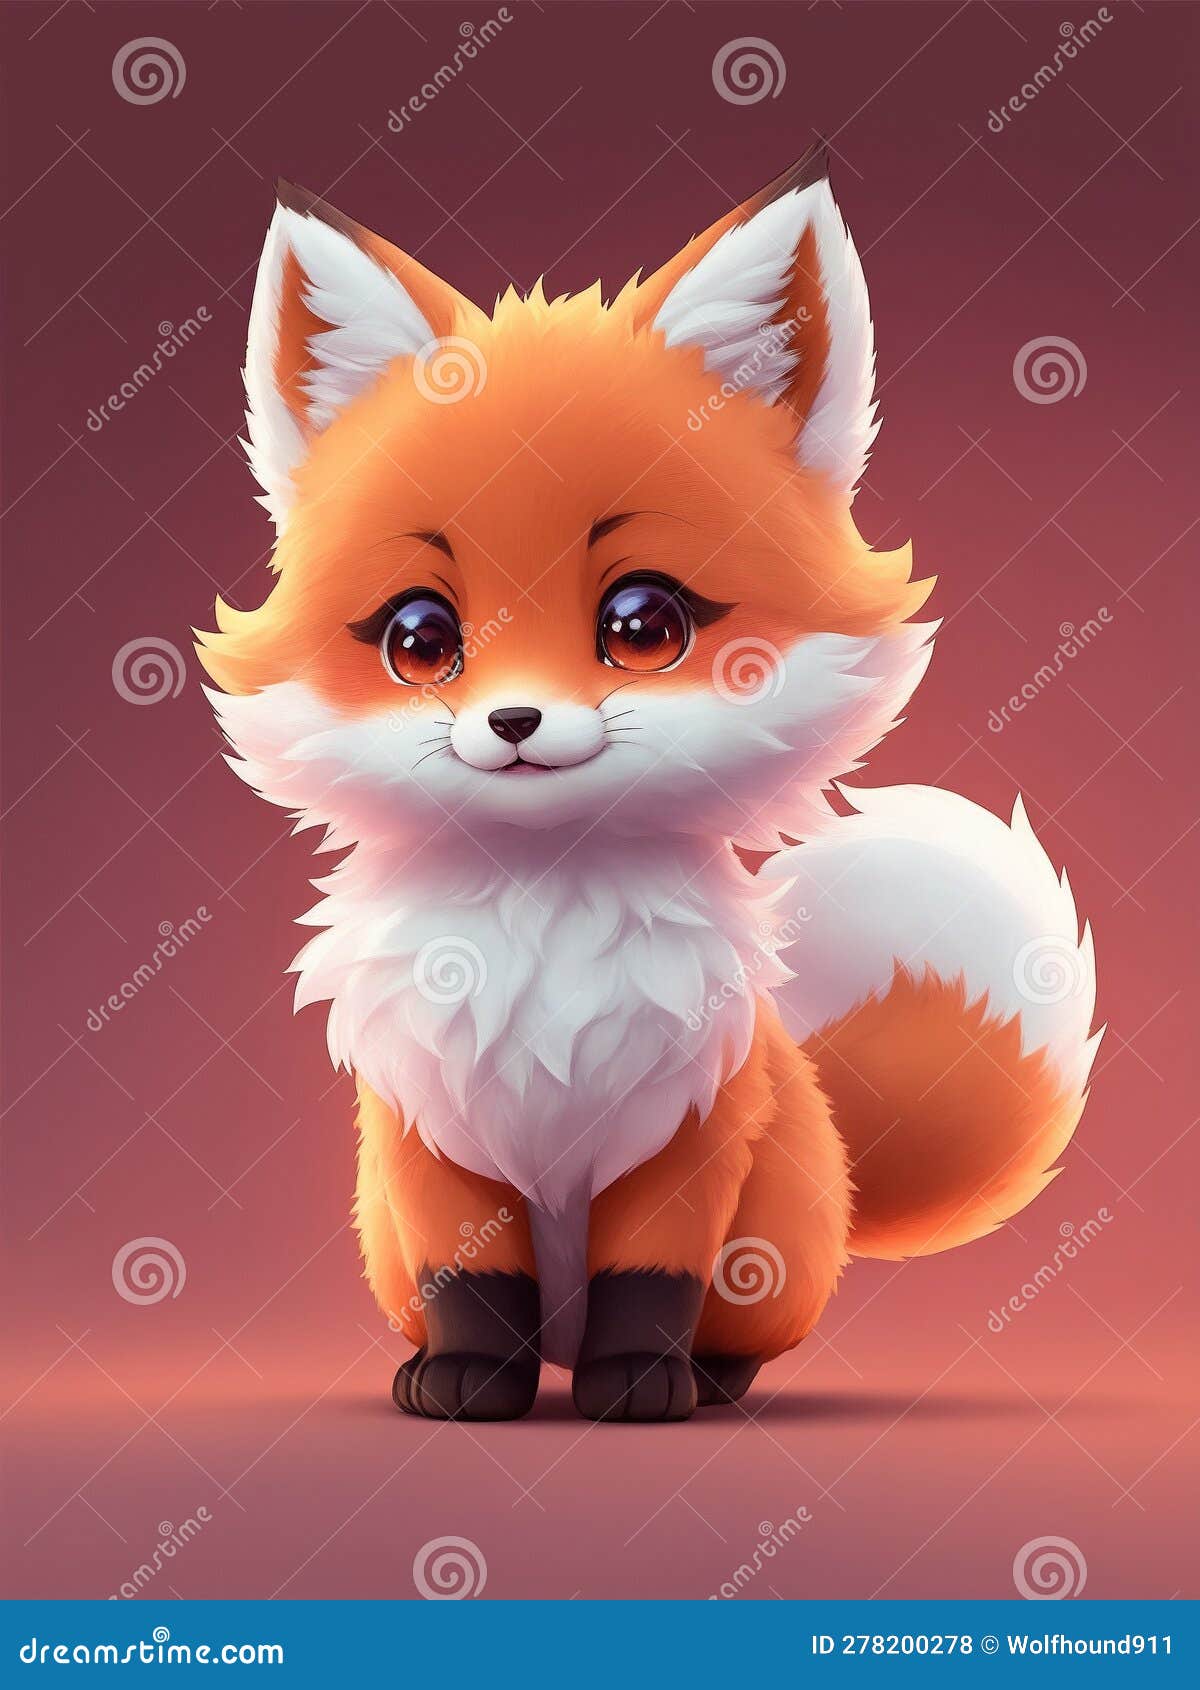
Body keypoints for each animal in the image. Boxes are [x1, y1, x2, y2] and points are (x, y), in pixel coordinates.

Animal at [198, 146, 1099, 1423]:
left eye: (642, 624)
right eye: (420, 639)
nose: (514, 722)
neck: (541, 930)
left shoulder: (687, 1129)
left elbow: (648, 1278)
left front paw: (638, 1383)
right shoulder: (432, 1137)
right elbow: (473, 1285)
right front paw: (469, 1378)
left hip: (773, 1235)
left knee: (744, 1325)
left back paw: (708, 1378)